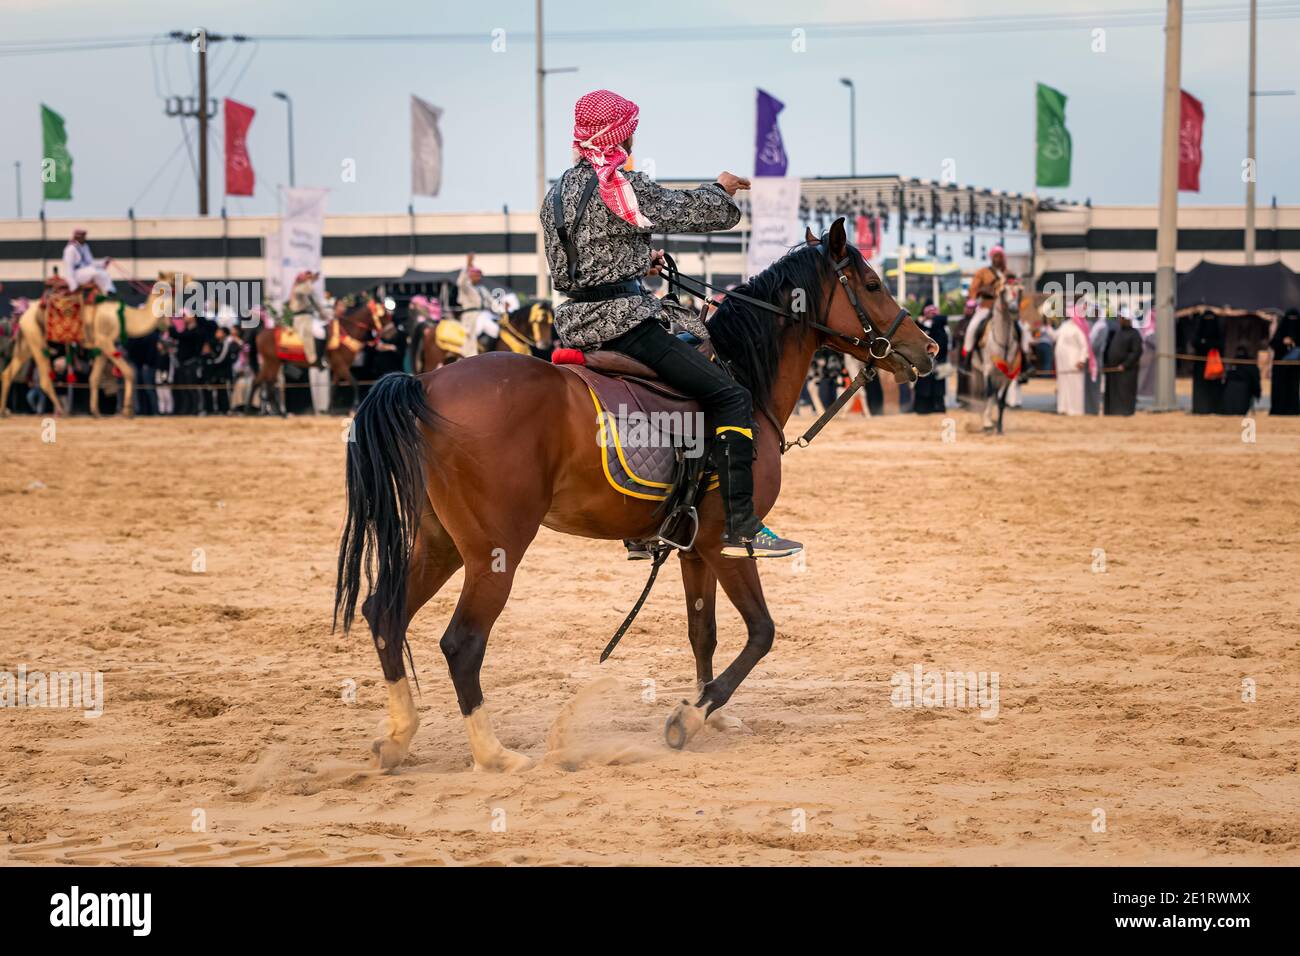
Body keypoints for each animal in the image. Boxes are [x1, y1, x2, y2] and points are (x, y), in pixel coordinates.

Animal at [0, 273, 178, 417]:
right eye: (171, 282)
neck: (124, 317)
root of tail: (24, 315)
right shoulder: (105, 341)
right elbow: (129, 372)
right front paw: (127, 411)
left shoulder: (101, 348)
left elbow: (94, 378)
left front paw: (96, 412)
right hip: (36, 341)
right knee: (44, 379)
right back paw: (62, 412)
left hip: (27, 343)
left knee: (8, 373)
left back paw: (4, 412)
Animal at [333, 218, 937, 773]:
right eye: (874, 284)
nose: (928, 346)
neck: (744, 379)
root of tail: (426, 383)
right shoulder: (727, 544)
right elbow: (761, 633)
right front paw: (691, 717)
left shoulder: (695, 550)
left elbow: (703, 633)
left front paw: (710, 711)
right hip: (494, 553)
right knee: (461, 643)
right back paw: (494, 755)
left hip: (441, 543)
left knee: (384, 614)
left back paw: (398, 738)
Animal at [974, 279, 1032, 433]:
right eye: (1004, 291)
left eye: (1019, 291)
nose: (1013, 309)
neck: (1003, 340)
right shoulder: (988, 371)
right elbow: (989, 395)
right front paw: (987, 424)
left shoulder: (1008, 376)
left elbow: (1001, 401)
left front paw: (999, 428)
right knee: (989, 395)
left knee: (996, 397)